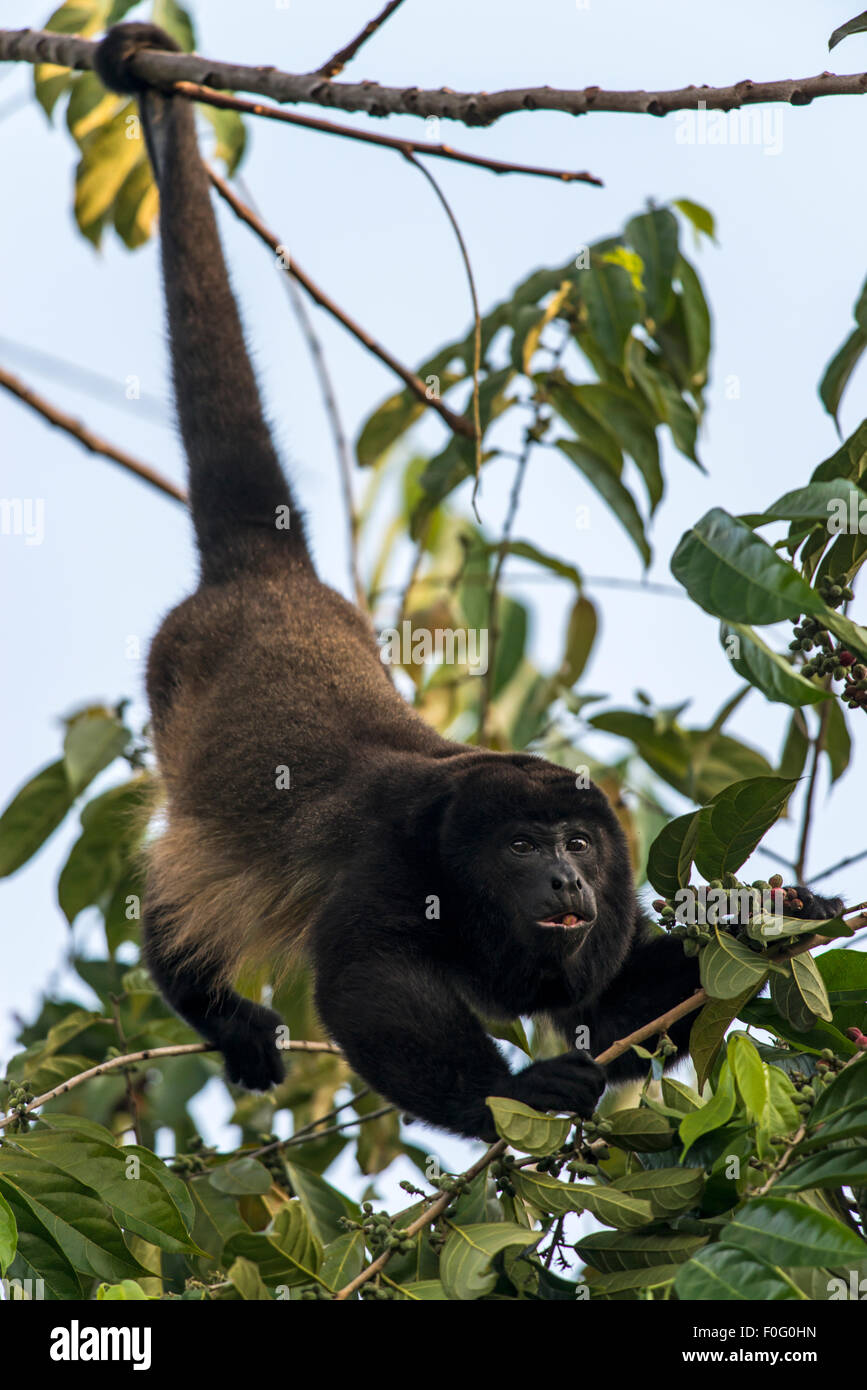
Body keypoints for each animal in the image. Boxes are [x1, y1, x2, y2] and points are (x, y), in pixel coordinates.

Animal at [93, 24, 844, 1142]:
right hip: (172, 687)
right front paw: (517, 1092)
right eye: (526, 842)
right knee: (179, 888)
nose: (567, 871)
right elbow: (365, 985)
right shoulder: (387, 861)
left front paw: (775, 917)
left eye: (577, 839)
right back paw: (218, 1010)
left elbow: (609, 1008)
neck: (458, 849)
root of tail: (269, 573)